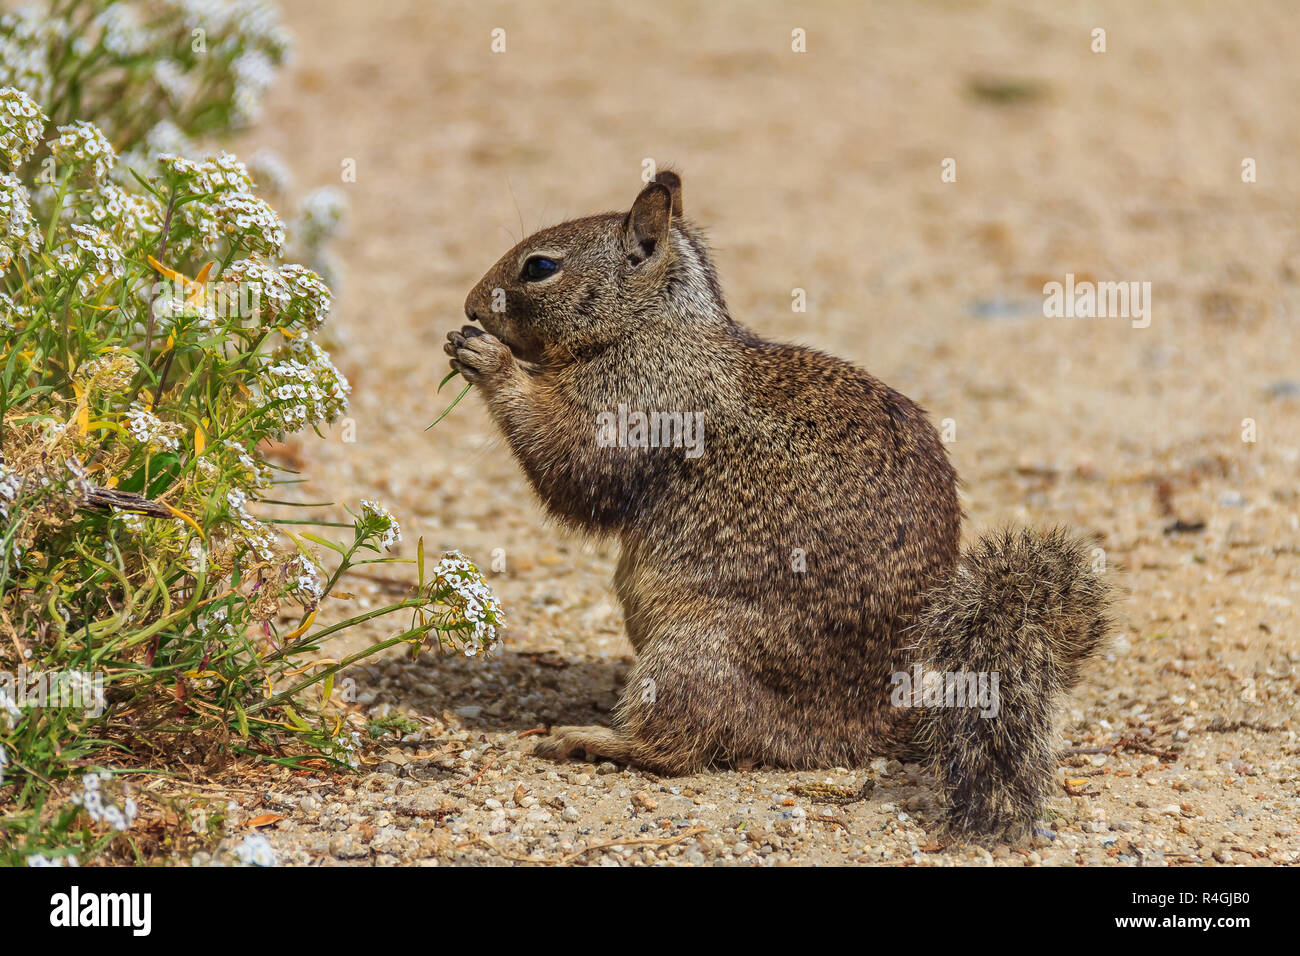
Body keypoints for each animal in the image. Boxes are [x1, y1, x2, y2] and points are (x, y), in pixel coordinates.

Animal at [445, 171, 1113, 843]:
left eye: (540, 266)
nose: (471, 307)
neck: (653, 327)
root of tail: (876, 721)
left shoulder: (640, 400)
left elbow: (571, 462)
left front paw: (489, 362)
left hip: (694, 653)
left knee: (678, 748)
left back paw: (592, 739)